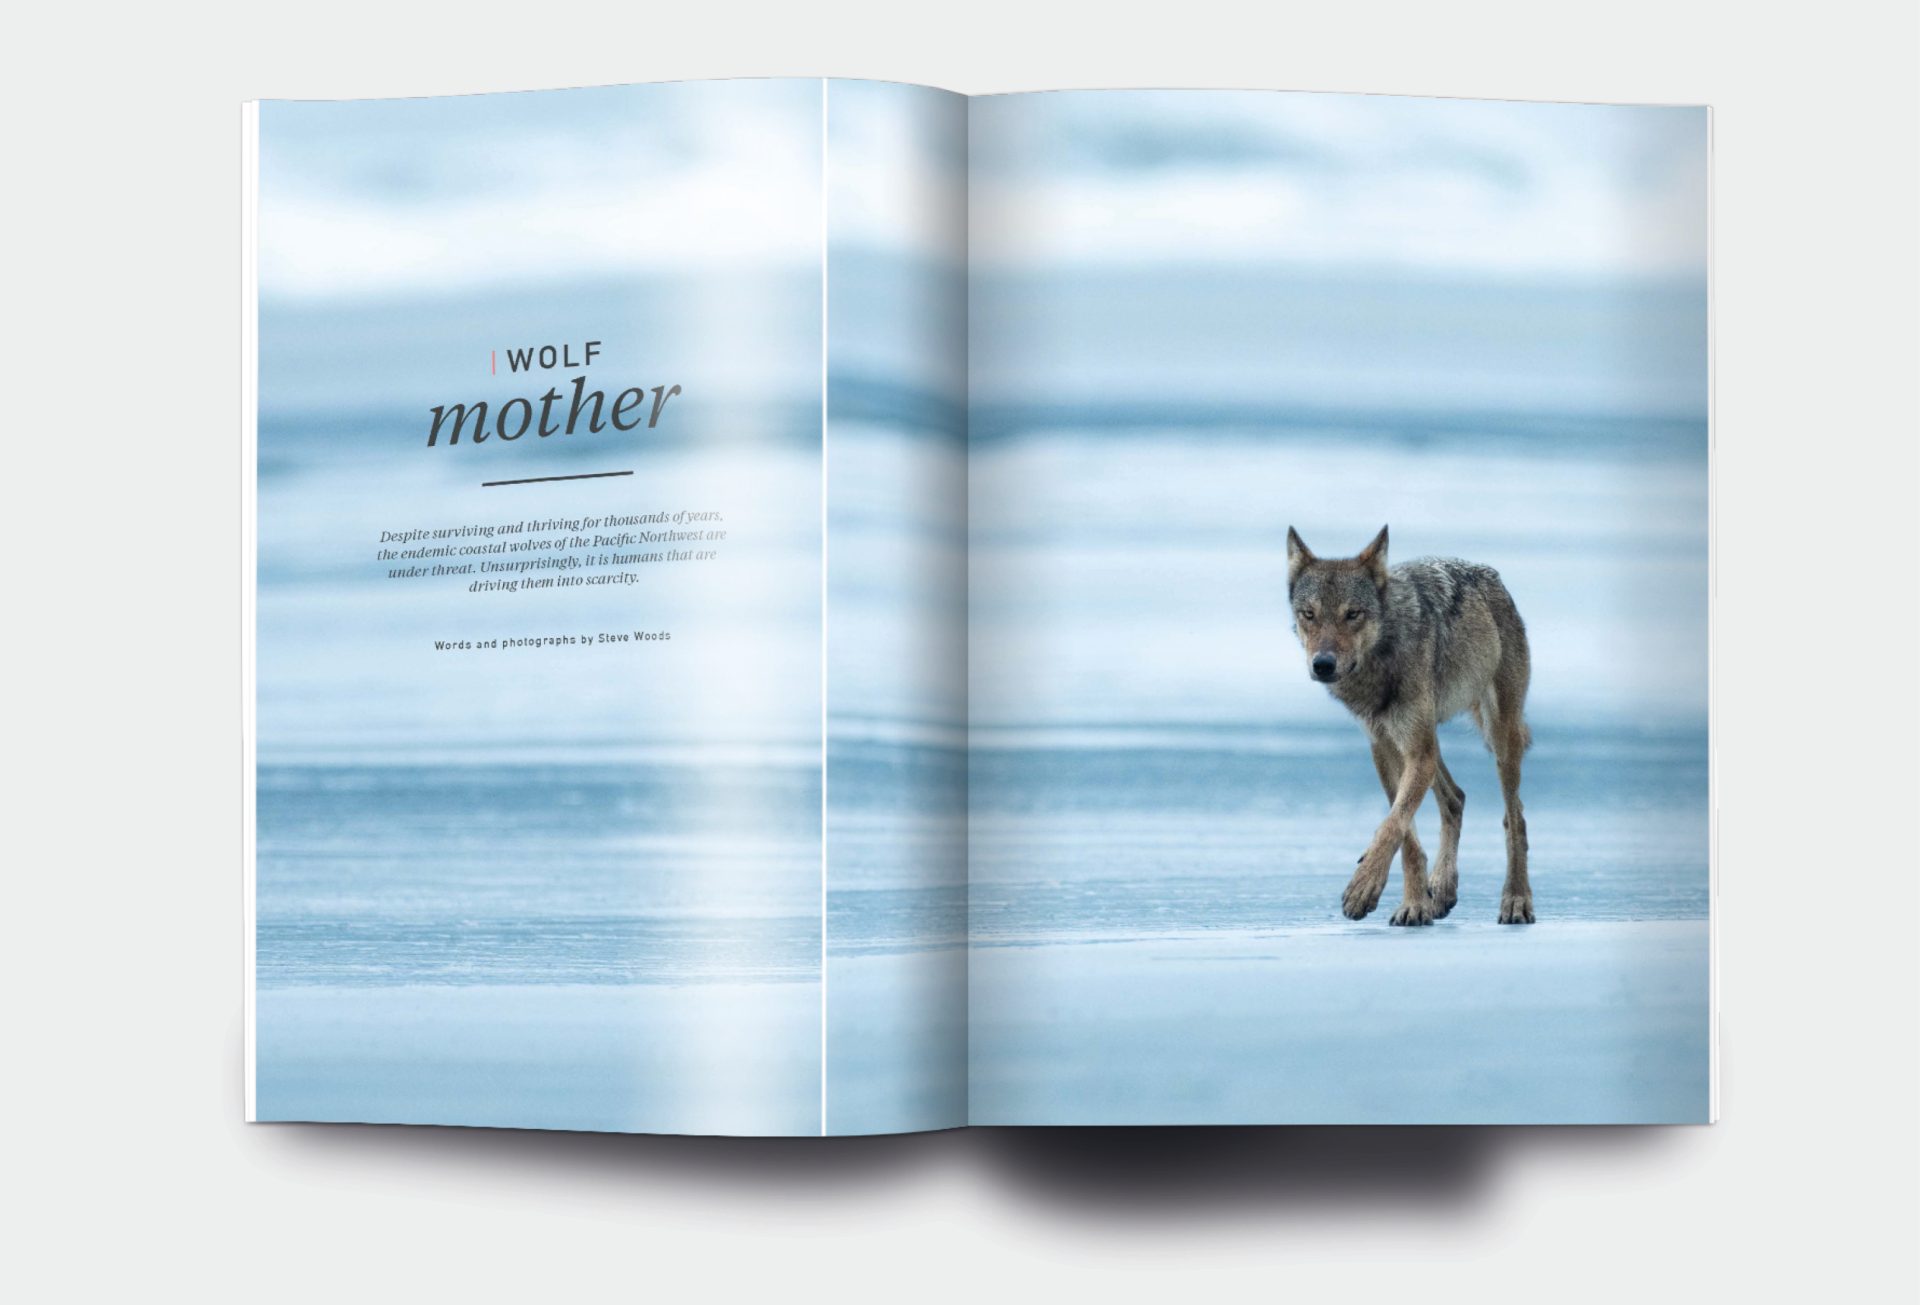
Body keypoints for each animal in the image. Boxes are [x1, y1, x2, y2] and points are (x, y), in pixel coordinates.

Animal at [1286, 526, 1534, 926]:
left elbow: (1392, 825)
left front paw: (1363, 887)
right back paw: (1443, 889)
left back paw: (1516, 900)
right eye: (1309, 614)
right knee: (1456, 798)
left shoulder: (1417, 752)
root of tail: (1494, 578)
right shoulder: (1385, 746)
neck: (1380, 663)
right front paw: (1415, 904)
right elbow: (1405, 835)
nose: (1322, 664)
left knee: (1515, 820)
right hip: (1429, 742)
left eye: (1352, 614)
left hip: (1498, 738)